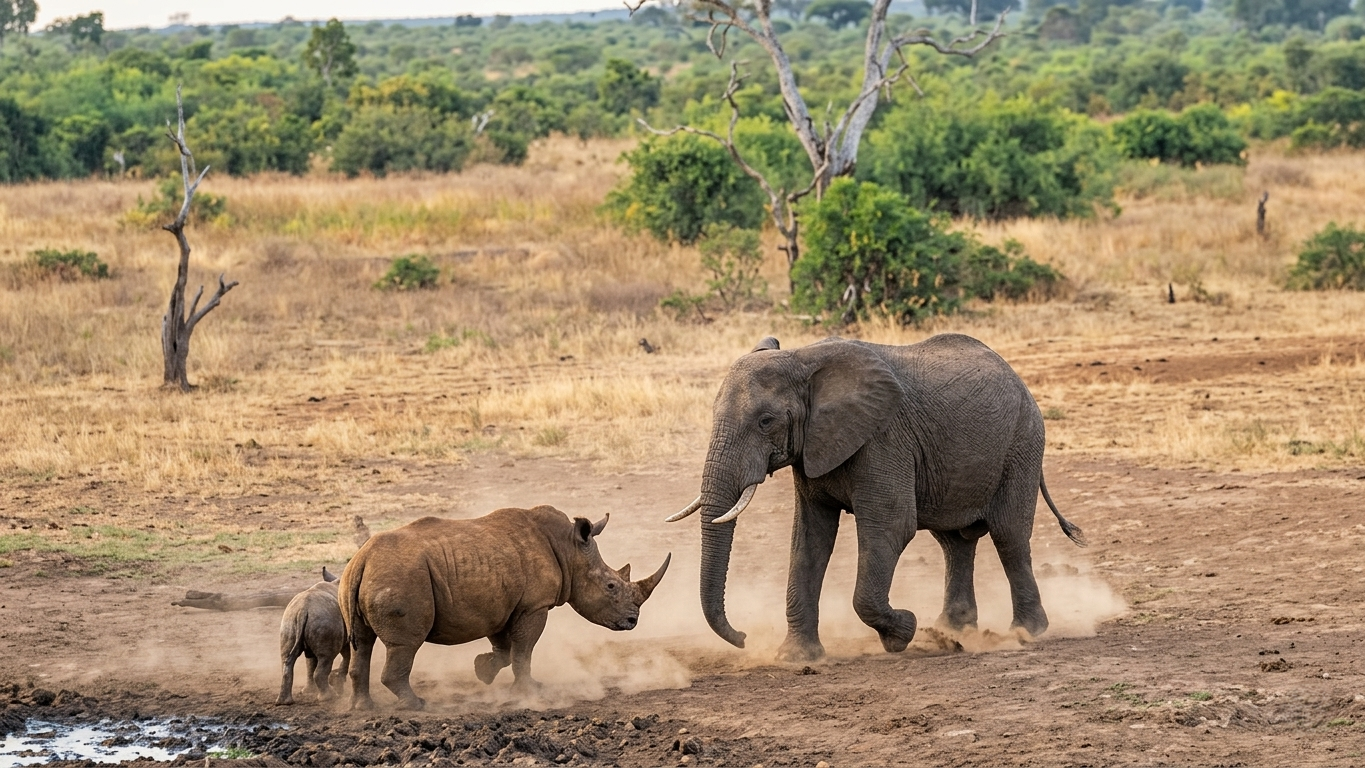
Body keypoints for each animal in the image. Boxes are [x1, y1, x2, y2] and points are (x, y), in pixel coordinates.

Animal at [276, 567, 351, 705]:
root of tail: (303, 610)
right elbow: (347, 655)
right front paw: (339, 683)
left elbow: (310, 663)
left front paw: (310, 691)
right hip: (325, 619)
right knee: (327, 657)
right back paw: (330, 697)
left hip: (290, 619)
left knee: (286, 659)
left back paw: (285, 702)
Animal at [339, 506, 669, 710]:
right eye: (611, 586)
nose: (633, 620)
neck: (569, 549)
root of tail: (362, 559)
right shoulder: (533, 606)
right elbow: (523, 650)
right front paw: (530, 691)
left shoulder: (500, 605)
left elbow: (505, 648)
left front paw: (482, 670)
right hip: (402, 578)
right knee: (405, 645)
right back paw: (416, 705)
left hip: (364, 580)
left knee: (362, 643)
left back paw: (363, 707)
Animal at [668, 333, 1085, 662]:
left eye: (766, 421)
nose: (743, 637)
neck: (804, 359)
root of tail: (1018, 378)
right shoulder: (814, 448)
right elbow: (809, 540)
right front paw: (796, 657)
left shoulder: (883, 439)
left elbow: (890, 527)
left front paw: (904, 632)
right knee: (954, 542)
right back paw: (950, 633)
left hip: (1022, 444)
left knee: (1008, 536)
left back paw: (1023, 632)